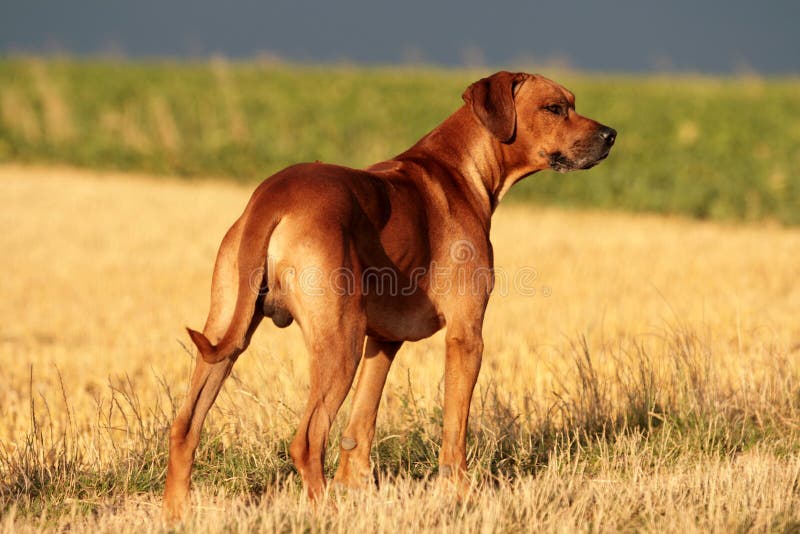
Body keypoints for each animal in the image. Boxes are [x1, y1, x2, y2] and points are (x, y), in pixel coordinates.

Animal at [161, 71, 612, 524]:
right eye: (555, 108)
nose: (611, 134)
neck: (460, 167)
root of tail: (272, 197)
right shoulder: (466, 336)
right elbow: (455, 431)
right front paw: (462, 497)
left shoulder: (383, 340)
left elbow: (360, 426)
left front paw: (355, 489)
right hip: (339, 344)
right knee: (307, 440)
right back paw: (326, 515)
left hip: (227, 333)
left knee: (186, 427)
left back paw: (176, 514)